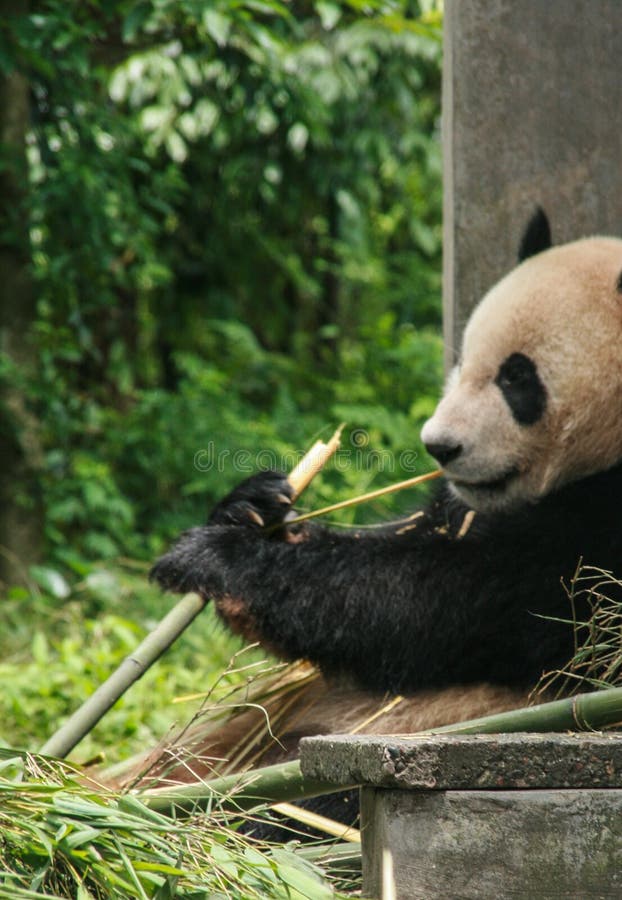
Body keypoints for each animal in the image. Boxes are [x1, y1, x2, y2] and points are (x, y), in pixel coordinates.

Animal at [143, 211, 622, 831]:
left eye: (518, 378)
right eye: (463, 360)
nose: (440, 446)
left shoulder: (598, 537)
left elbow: (427, 601)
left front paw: (217, 557)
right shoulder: (461, 506)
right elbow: (413, 533)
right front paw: (254, 504)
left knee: (297, 805)